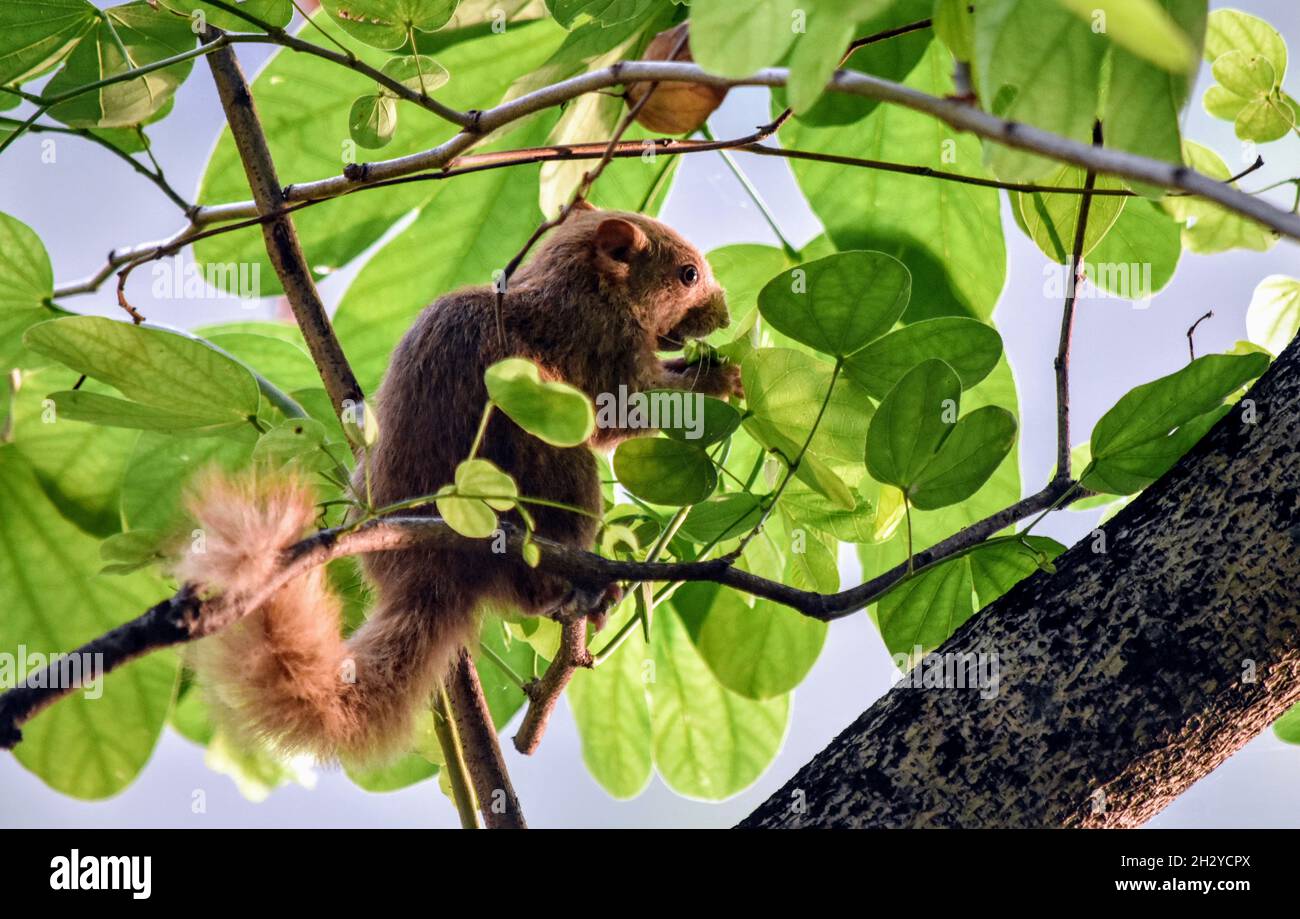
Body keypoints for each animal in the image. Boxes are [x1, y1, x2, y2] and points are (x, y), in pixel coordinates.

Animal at [179, 204, 739, 764]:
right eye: (687, 274)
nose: (726, 317)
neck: (582, 284)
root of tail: (430, 568)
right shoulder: (602, 348)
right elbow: (629, 409)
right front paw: (722, 379)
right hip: (555, 467)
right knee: (532, 583)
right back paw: (582, 592)